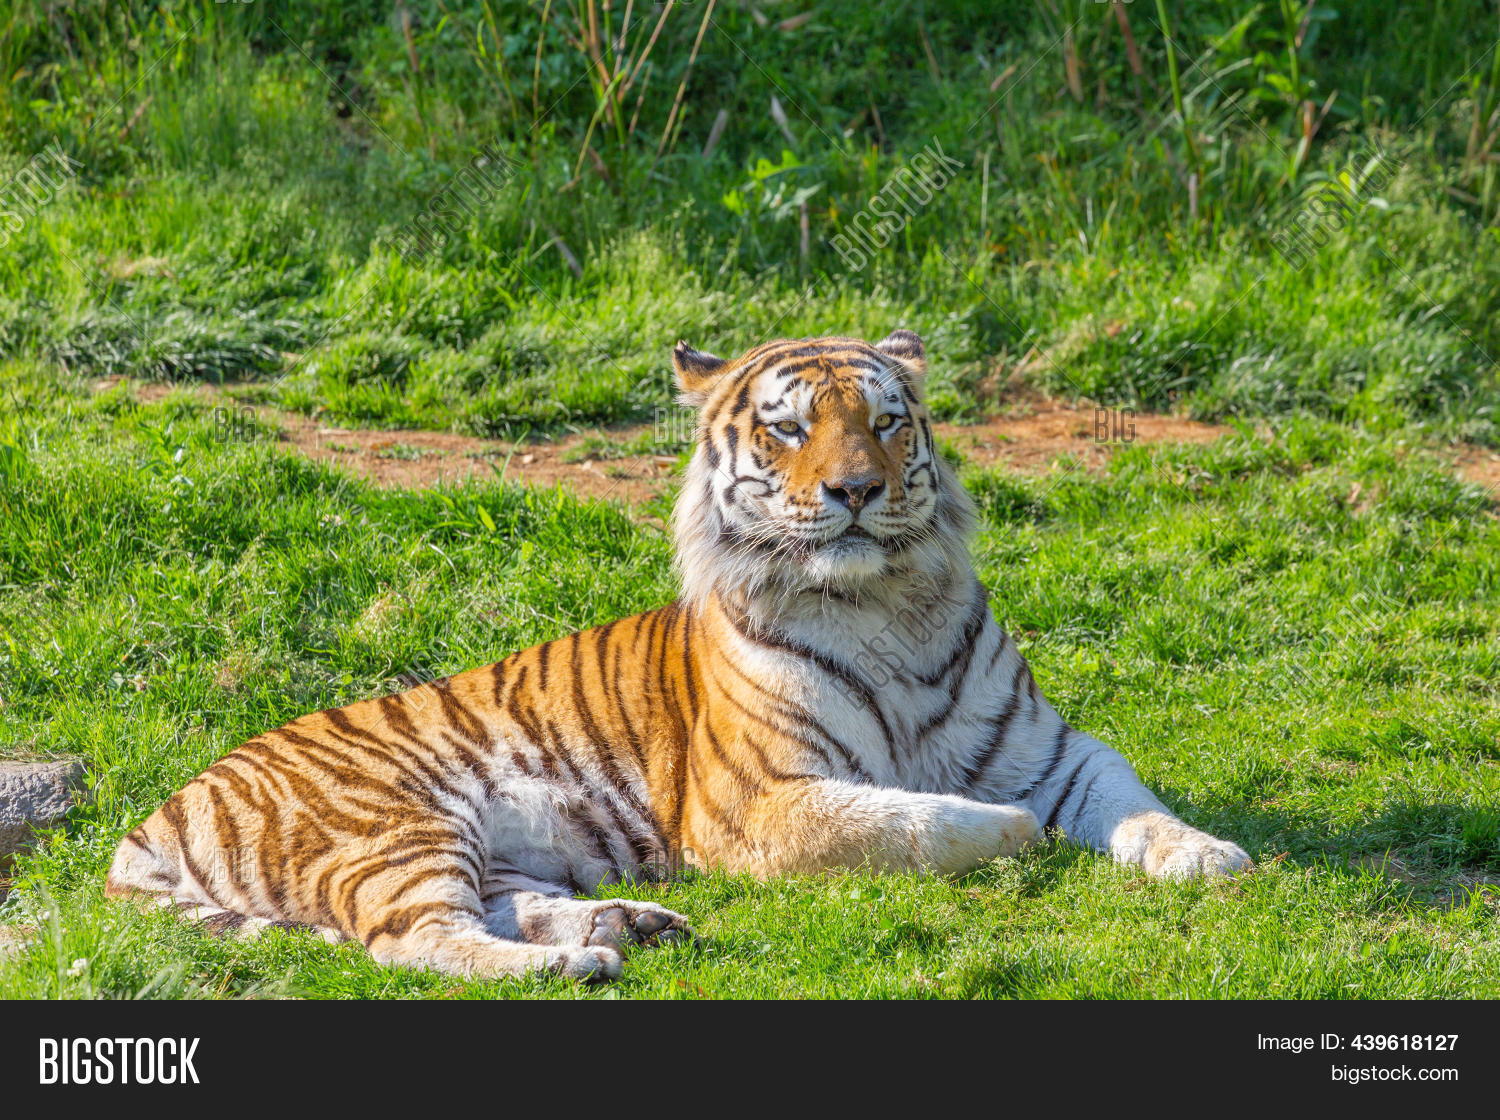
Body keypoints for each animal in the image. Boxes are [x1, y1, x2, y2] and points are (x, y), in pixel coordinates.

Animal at [107, 330, 1252, 982]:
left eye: (887, 422)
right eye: (789, 430)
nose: (857, 489)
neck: (882, 602)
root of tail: (152, 816)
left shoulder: (1052, 750)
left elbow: (1132, 798)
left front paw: (1211, 856)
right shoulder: (760, 799)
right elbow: (907, 821)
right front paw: (1010, 834)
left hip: (479, 846)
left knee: (500, 902)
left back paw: (633, 925)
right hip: (389, 827)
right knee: (411, 940)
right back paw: (577, 965)